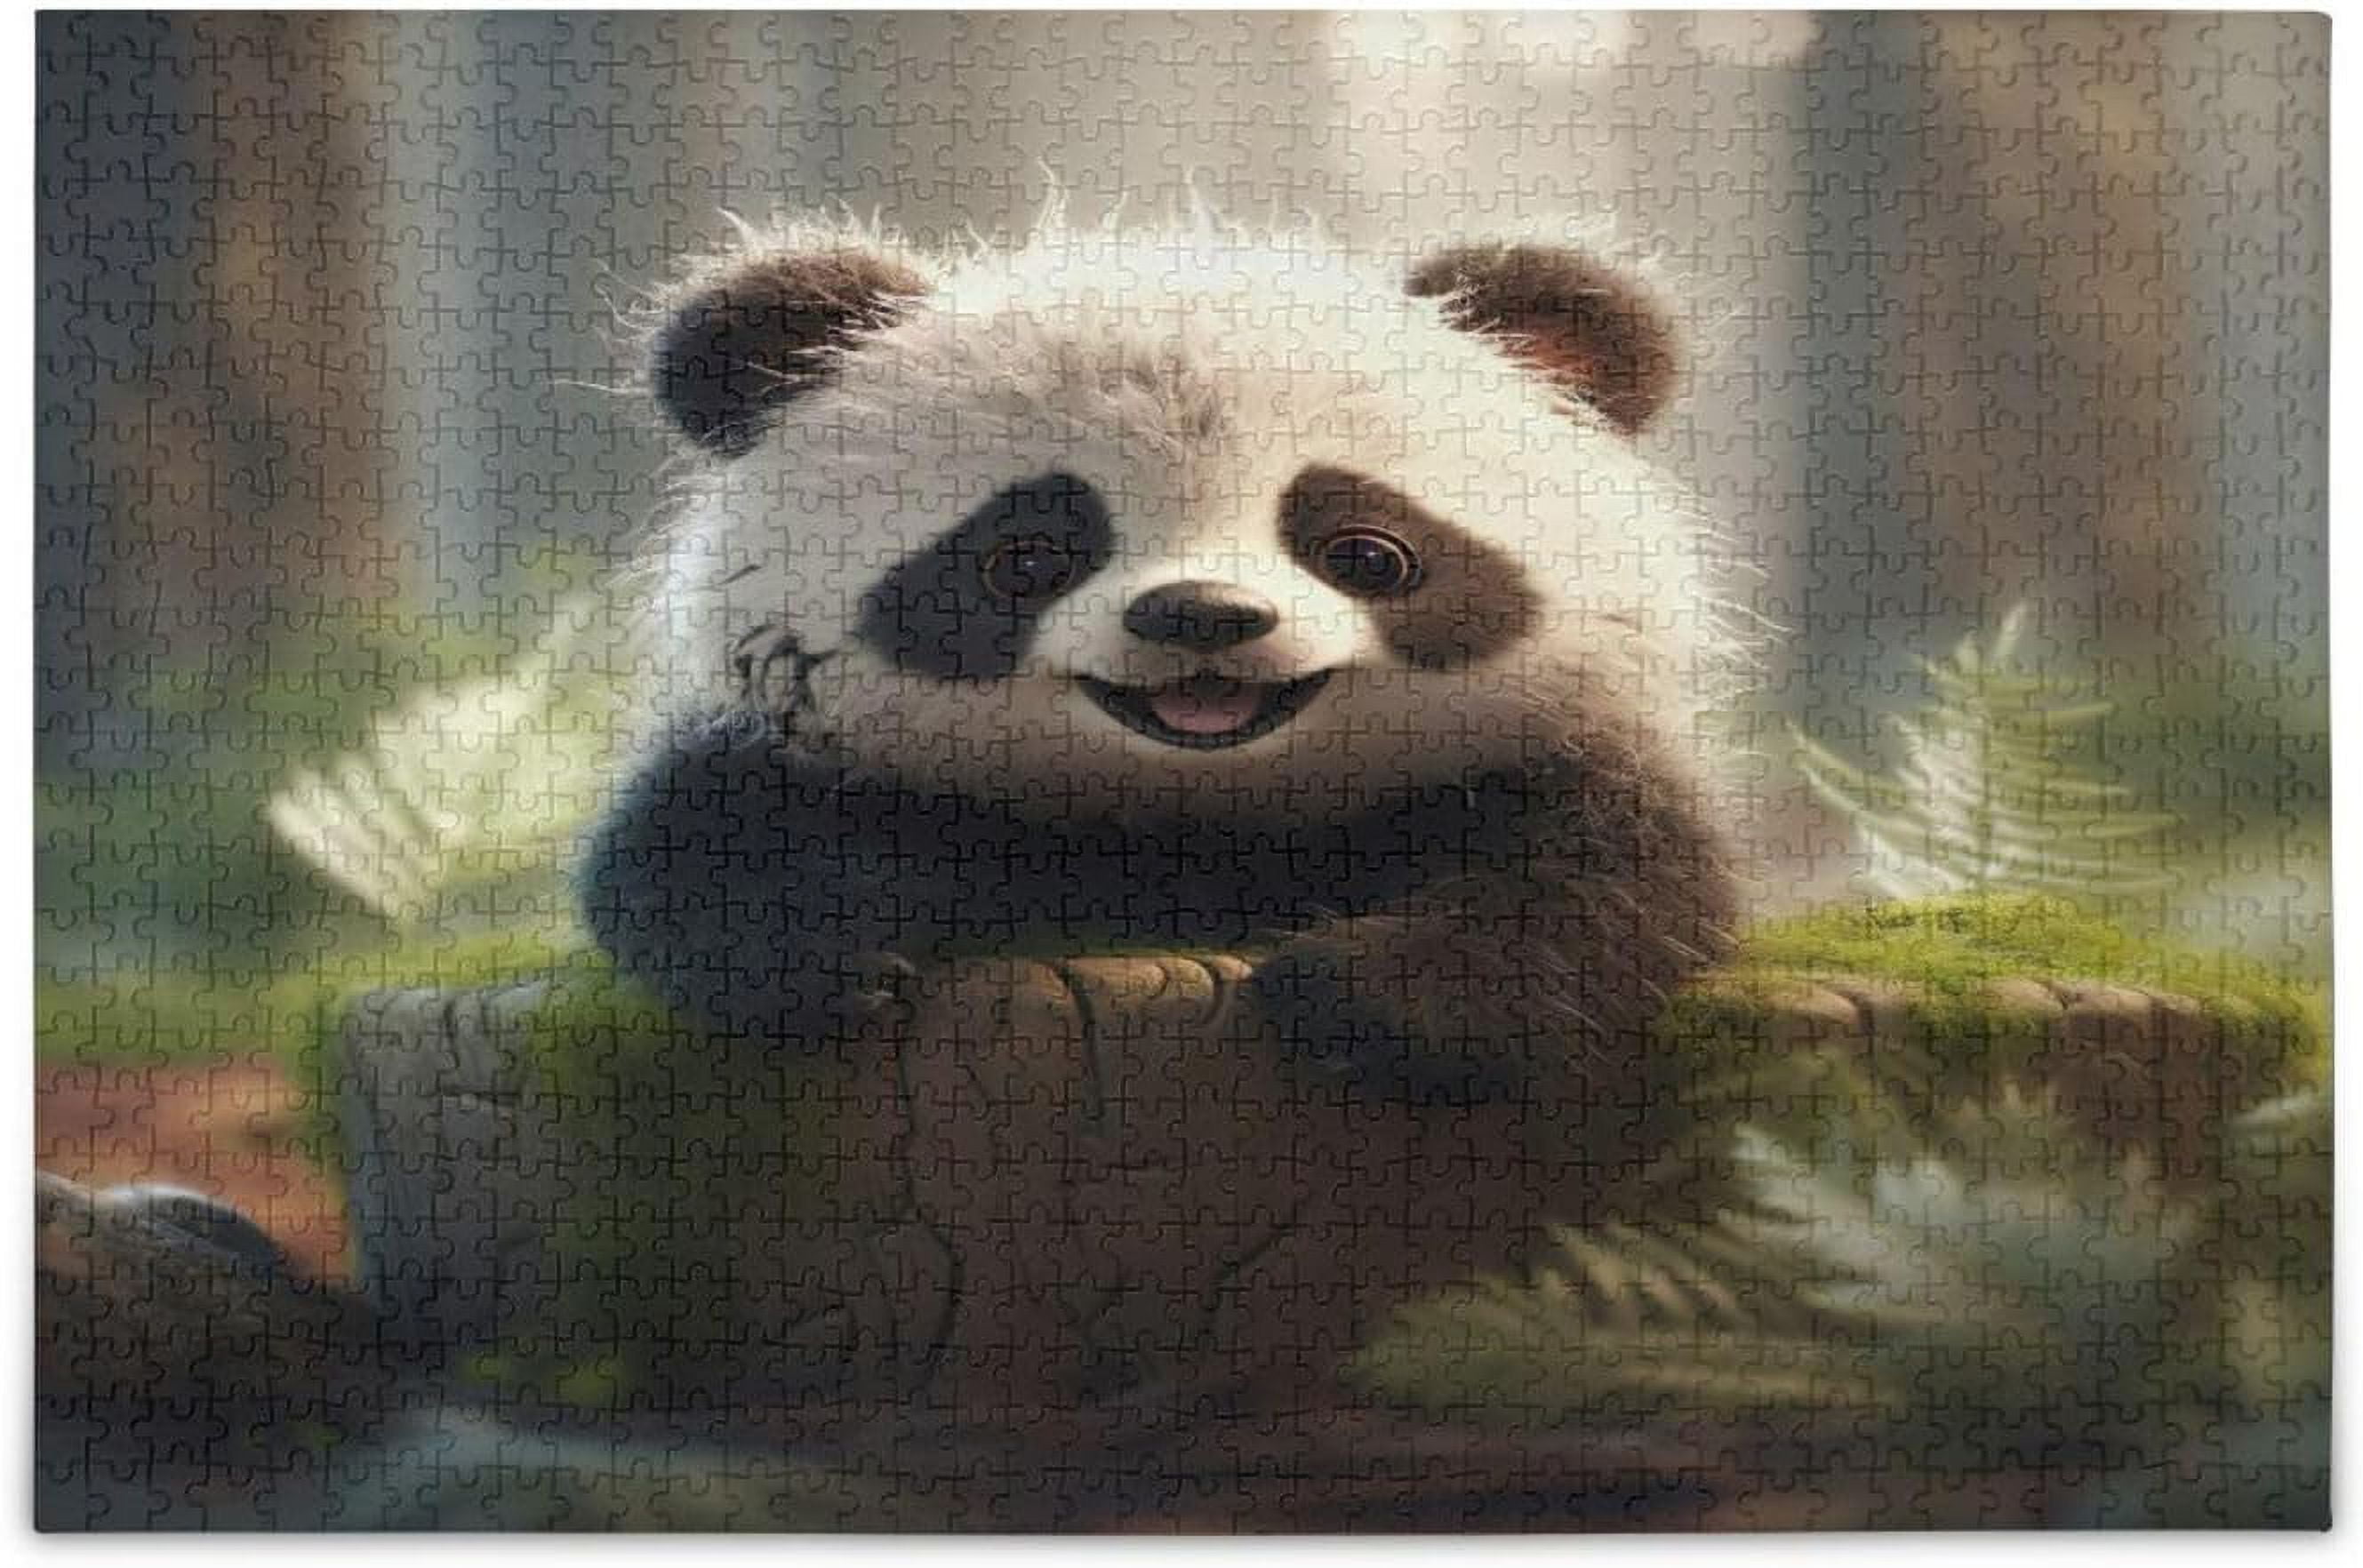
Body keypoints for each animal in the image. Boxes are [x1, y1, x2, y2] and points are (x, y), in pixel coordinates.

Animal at [581, 216, 1741, 1110]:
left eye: (1366, 550)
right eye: (1025, 556)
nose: (1203, 616)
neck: (1184, 819)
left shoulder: (1531, 754)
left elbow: (1606, 877)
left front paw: (1365, 1004)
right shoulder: (829, 756)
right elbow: (690, 845)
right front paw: (832, 966)